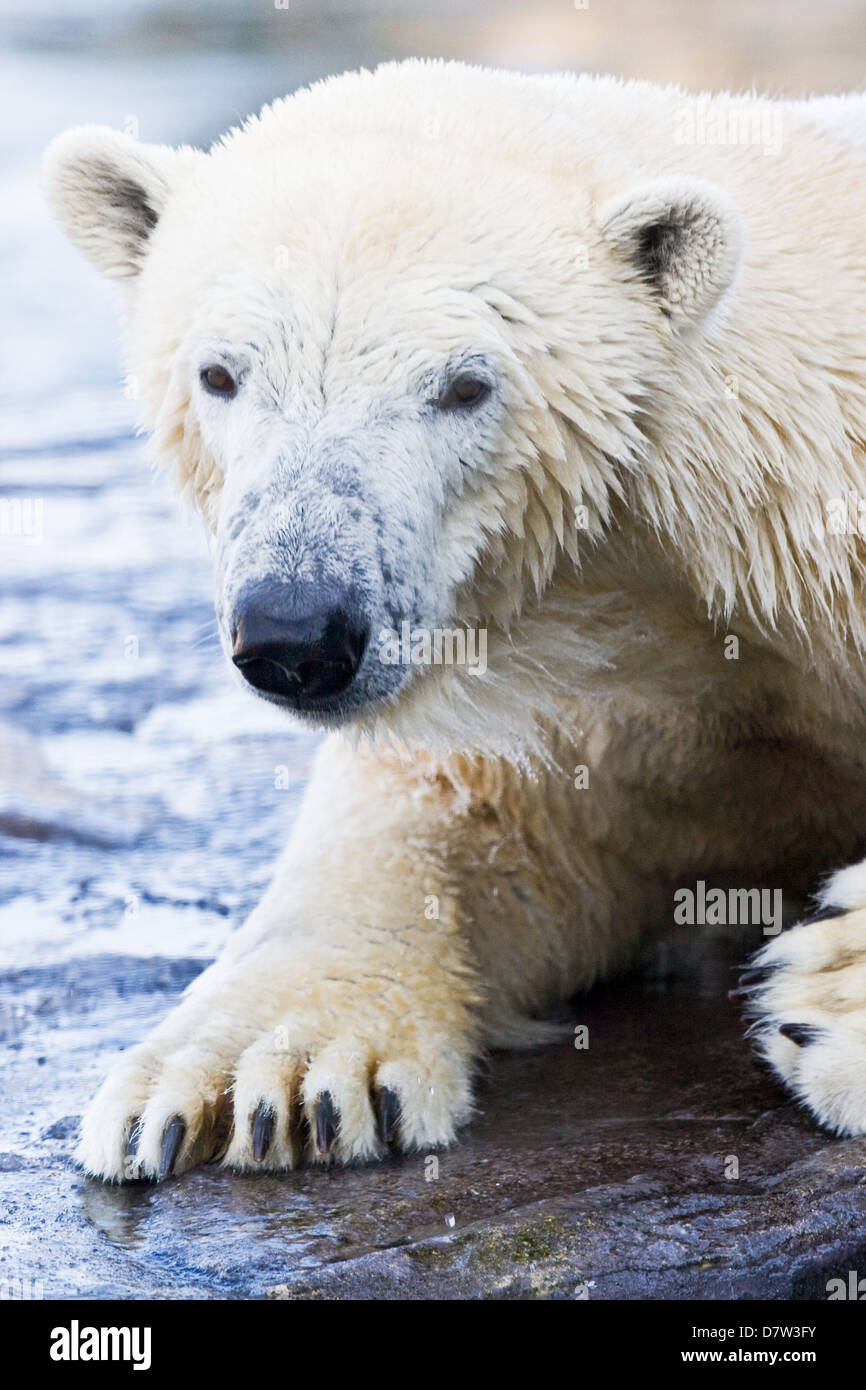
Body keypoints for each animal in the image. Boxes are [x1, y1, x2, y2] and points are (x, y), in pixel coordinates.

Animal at [43, 61, 866, 1181]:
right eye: (219, 374)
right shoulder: (586, 685)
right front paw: (261, 1073)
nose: (296, 633)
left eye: (464, 386)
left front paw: (830, 995)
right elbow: (468, 820)